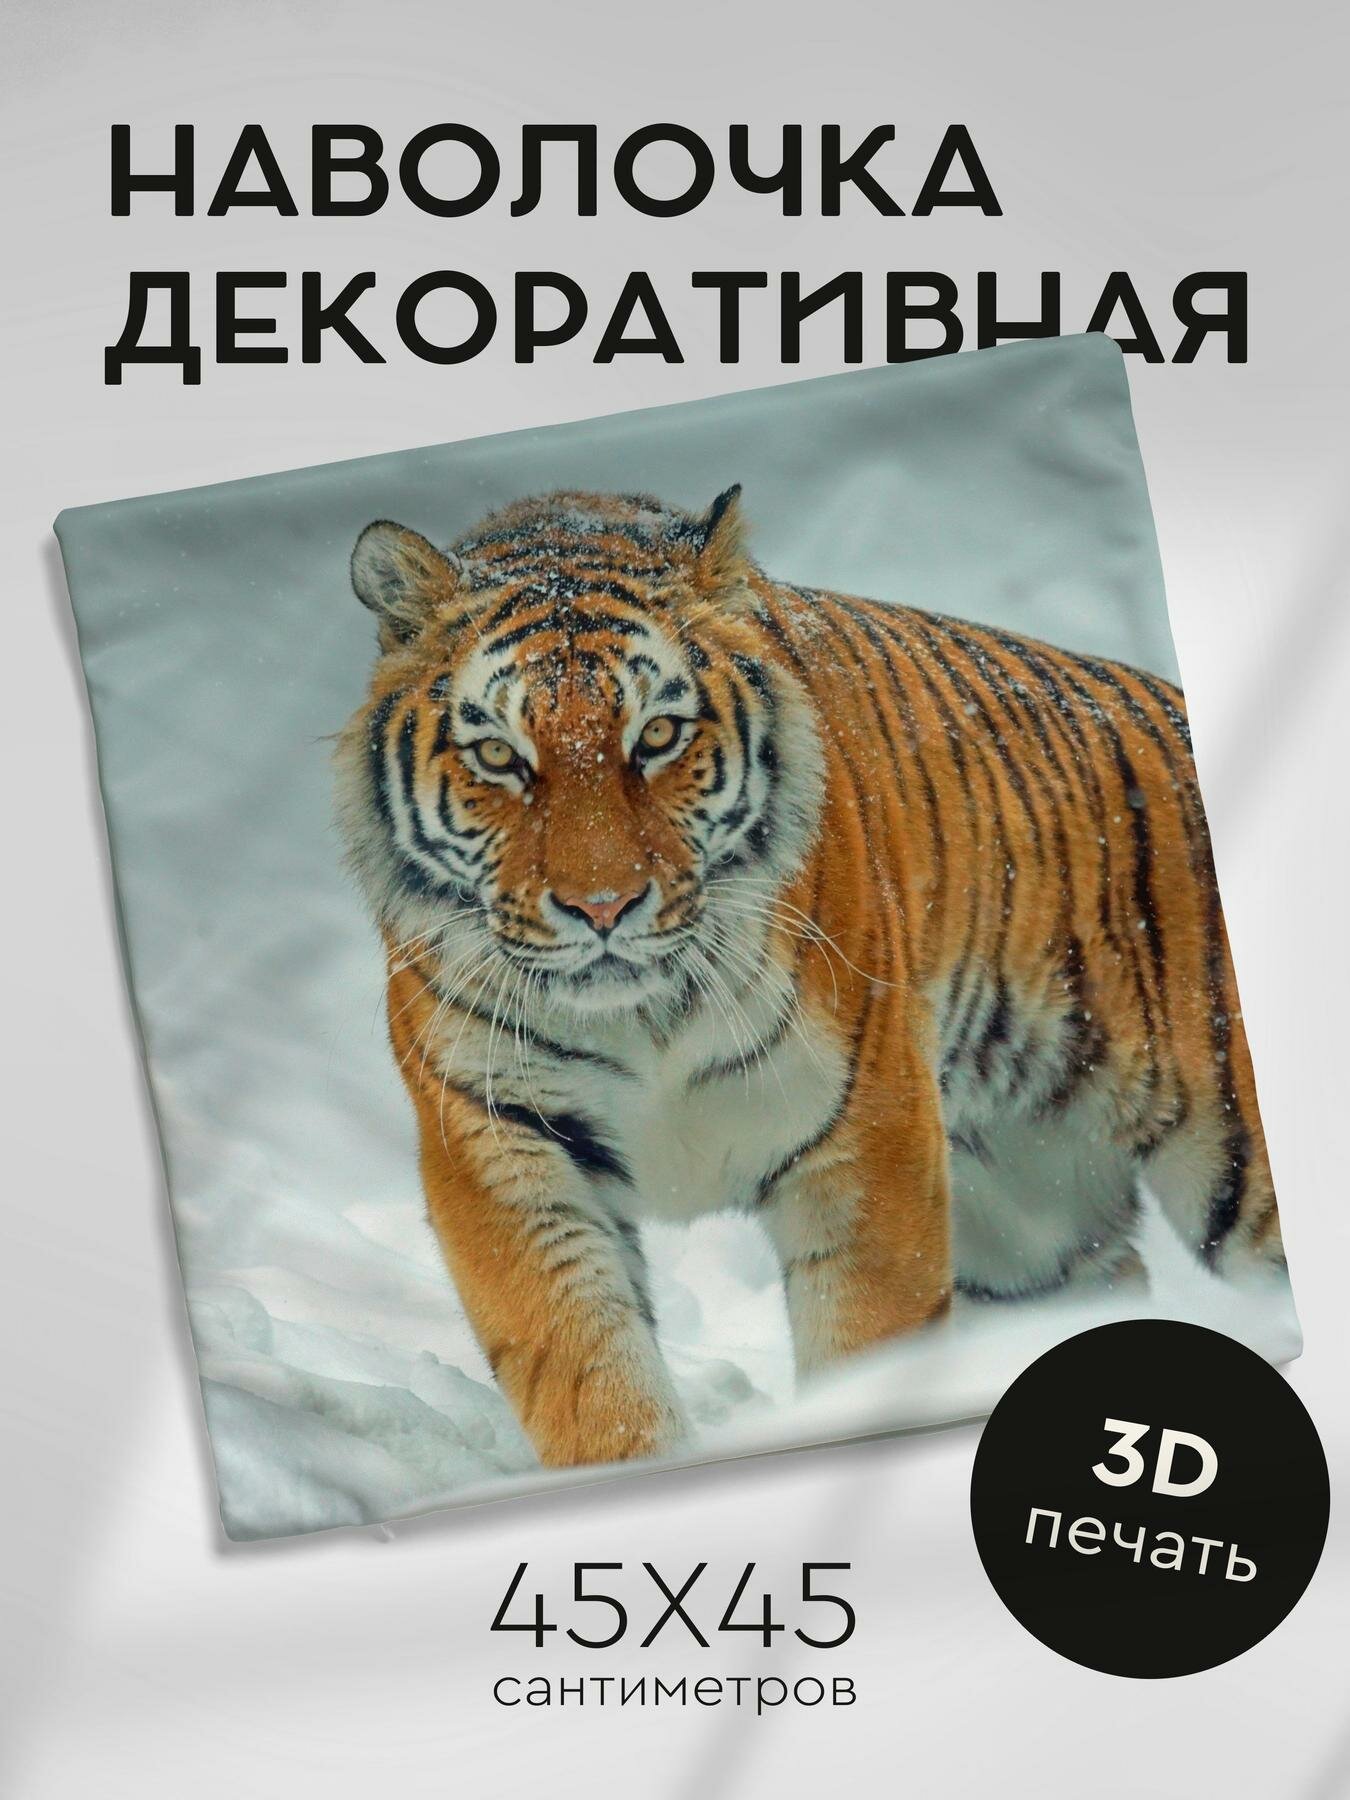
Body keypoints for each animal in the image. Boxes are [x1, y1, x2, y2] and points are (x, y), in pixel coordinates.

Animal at [334, 486, 1284, 1470]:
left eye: (658, 736)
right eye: (497, 755)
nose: (602, 906)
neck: (643, 1017)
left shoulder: (868, 1138)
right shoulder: (501, 1146)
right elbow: (593, 1385)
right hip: (1032, 1225)